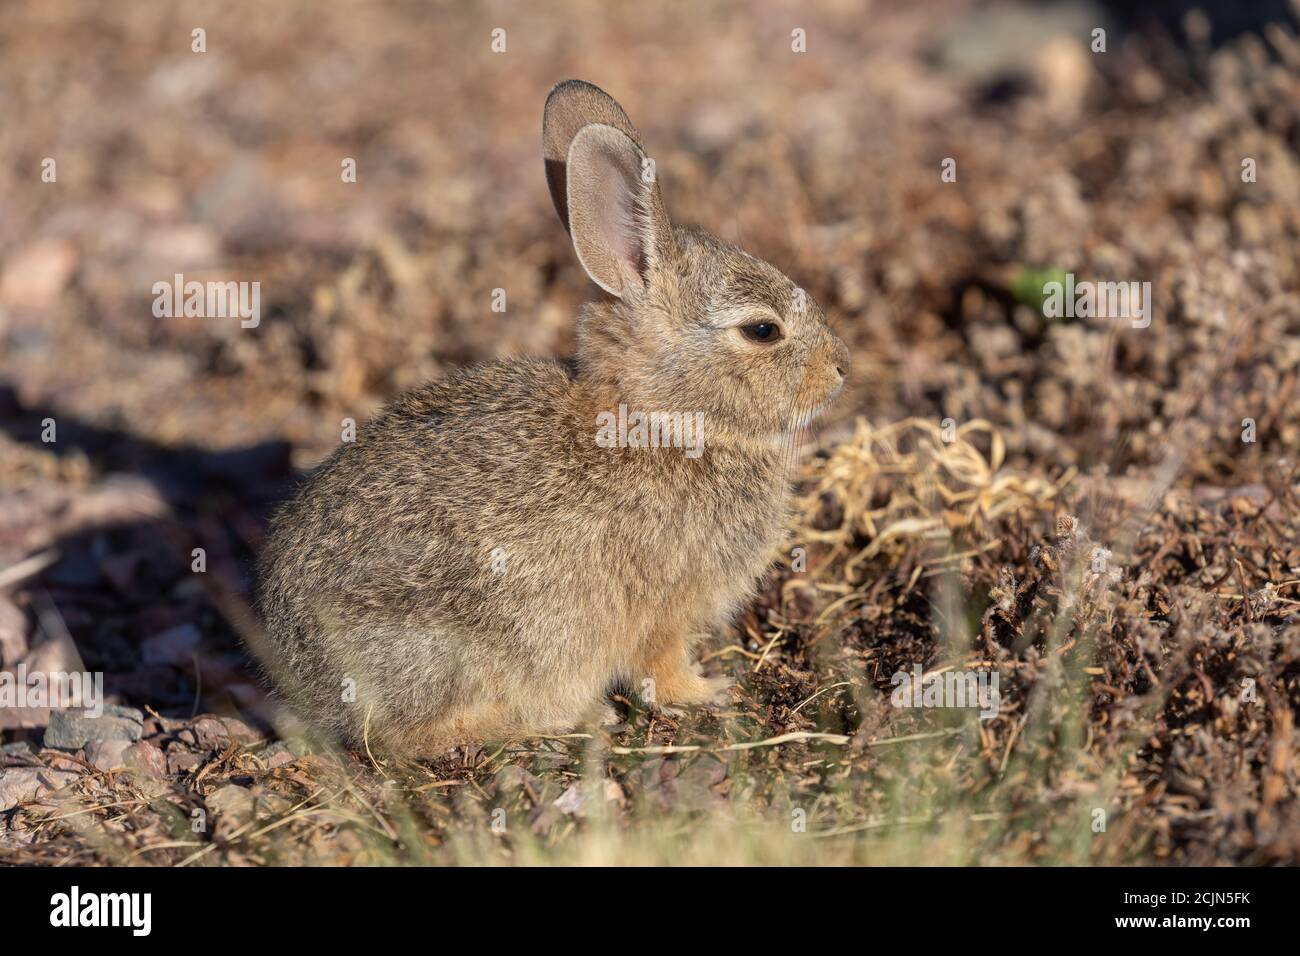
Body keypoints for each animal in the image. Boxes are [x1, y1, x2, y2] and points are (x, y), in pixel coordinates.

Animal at [254, 79, 850, 756]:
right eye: (762, 331)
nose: (841, 368)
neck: (661, 416)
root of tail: (302, 670)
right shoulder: (666, 609)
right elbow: (662, 667)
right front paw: (707, 692)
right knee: (404, 737)